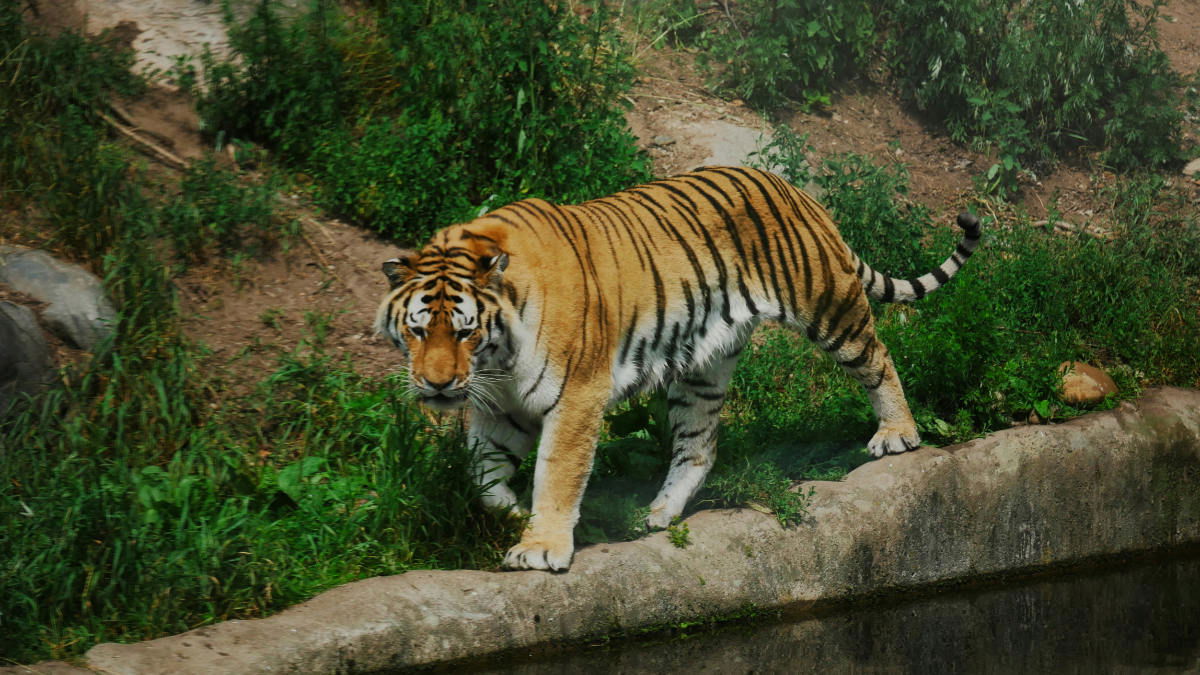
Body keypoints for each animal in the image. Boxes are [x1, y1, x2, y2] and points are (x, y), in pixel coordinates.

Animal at [375, 165, 981, 572]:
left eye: (464, 330)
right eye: (419, 329)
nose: (437, 385)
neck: (496, 361)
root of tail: (793, 187)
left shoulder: (575, 397)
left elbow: (558, 473)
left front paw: (541, 547)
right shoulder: (502, 405)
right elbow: (481, 472)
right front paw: (512, 515)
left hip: (829, 306)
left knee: (878, 359)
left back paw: (898, 435)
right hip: (701, 370)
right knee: (700, 445)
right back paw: (659, 513)